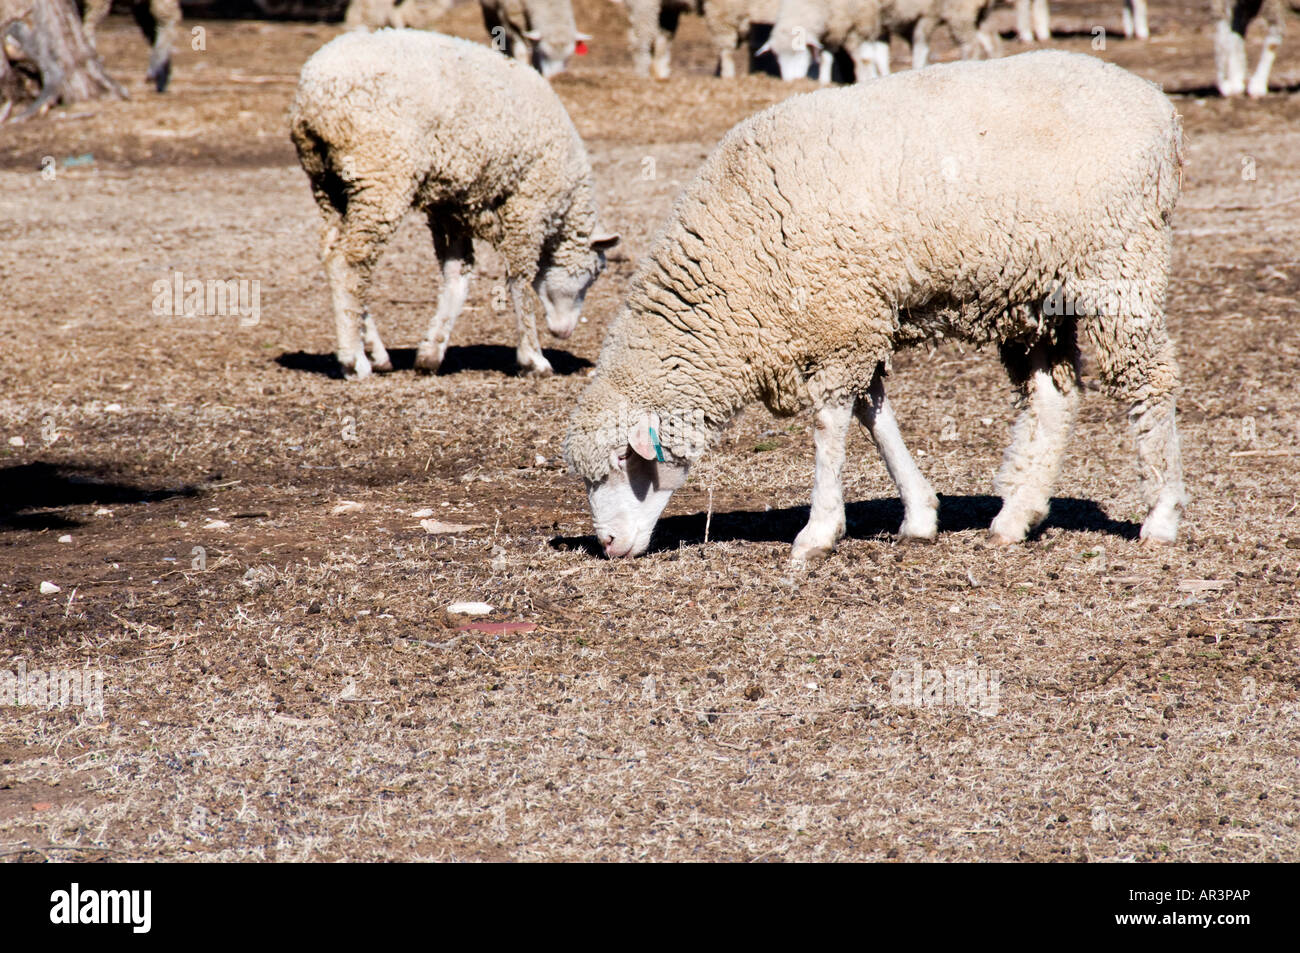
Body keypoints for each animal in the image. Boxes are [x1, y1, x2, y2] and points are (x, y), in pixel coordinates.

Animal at [289, 29, 619, 380]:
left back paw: (376, 353)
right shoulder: (528, 204)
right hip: (381, 174)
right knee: (350, 262)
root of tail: (313, 94)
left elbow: (456, 277)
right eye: (594, 273)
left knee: (333, 256)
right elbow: (520, 281)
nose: (565, 331)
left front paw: (431, 352)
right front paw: (533, 358)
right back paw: (354, 360)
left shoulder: (451, 207)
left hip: (329, 185)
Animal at [564, 51, 1187, 563]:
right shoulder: (851, 322)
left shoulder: (839, 319)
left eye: (624, 463)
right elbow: (875, 416)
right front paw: (919, 515)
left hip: (1121, 266)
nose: (608, 545)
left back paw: (1160, 518)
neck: (737, 261)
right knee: (1053, 396)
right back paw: (1015, 518)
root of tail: (1159, 104)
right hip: (1035, 294)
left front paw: (818, 532)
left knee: (1151, 382)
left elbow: (829, 425)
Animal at [620, 0, 780, 79]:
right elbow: (726, 48)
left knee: (662, 38)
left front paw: (719, 72)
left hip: (667, 9)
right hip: (644, 4)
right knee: (640, 38)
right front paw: (727, 75)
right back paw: (642, 73)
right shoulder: (721, 9)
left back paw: (661, 73)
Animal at [761, 0, 999, 84]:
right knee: (989, 39)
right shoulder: (838, 26)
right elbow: (828, 57)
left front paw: (865, 78)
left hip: (951, 11)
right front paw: (824, 81)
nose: (791, 82)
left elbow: (865, 58)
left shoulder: (862, 20)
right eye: (777, 58)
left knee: (962, 45)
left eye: (799, 52)